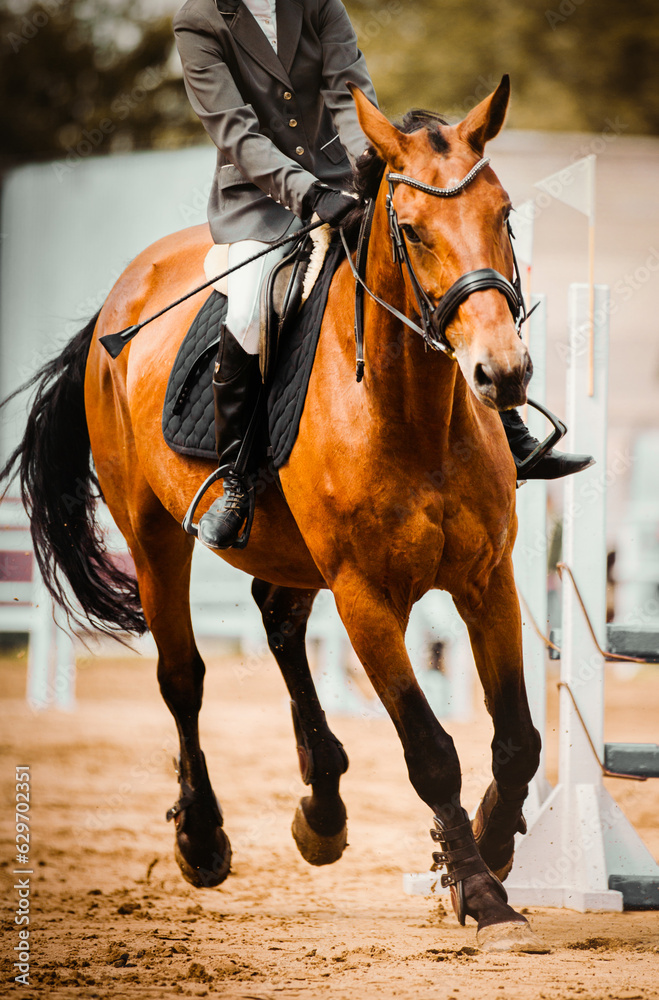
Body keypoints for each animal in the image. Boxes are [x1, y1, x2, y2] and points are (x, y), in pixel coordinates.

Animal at [2, 76, 543, 952]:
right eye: (413, 232)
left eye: (503, 215)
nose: (503, 374)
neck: (415, 412)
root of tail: (122, 292)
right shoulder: (364, 599)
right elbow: (430, 751)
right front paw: (477, 888)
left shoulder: (486, 580)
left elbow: (518, 739)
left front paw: (490, 845)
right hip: (152, 537)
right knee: (182, 677)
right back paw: (202, 839)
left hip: (288, 553)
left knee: (279, 623)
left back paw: (321, 807)